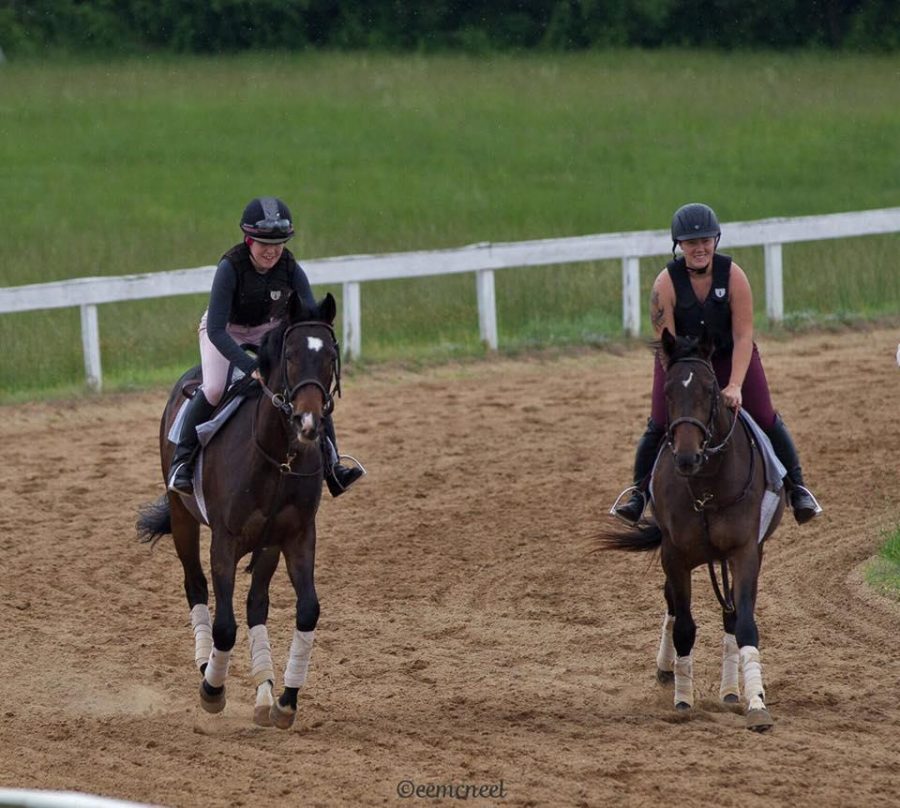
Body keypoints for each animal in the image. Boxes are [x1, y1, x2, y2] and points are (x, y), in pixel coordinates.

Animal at [137, 292, 340, 729]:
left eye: (331, 355)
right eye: (290, 355)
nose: (309, 421)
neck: (277, 458)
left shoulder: (297, 535)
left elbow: (307, 611)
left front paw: (285, 700)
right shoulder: (224, 540)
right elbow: (224, 626)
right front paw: (212, 689)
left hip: (267, 545)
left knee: (256, 605)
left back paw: (264, 689)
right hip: (183, 519)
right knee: (195, 586)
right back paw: (206, 667)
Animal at [599, 328, 786, 731]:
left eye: (710, 390)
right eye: (668, 392)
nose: (686, 456)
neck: (707, 487)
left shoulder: (745, 551)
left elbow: (744, 623)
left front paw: (756, 702)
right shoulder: (675, 554)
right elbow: (684, 623)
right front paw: (683, 700)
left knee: (730, 615)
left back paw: (730, 691)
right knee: (672, 602)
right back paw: (668, 669)